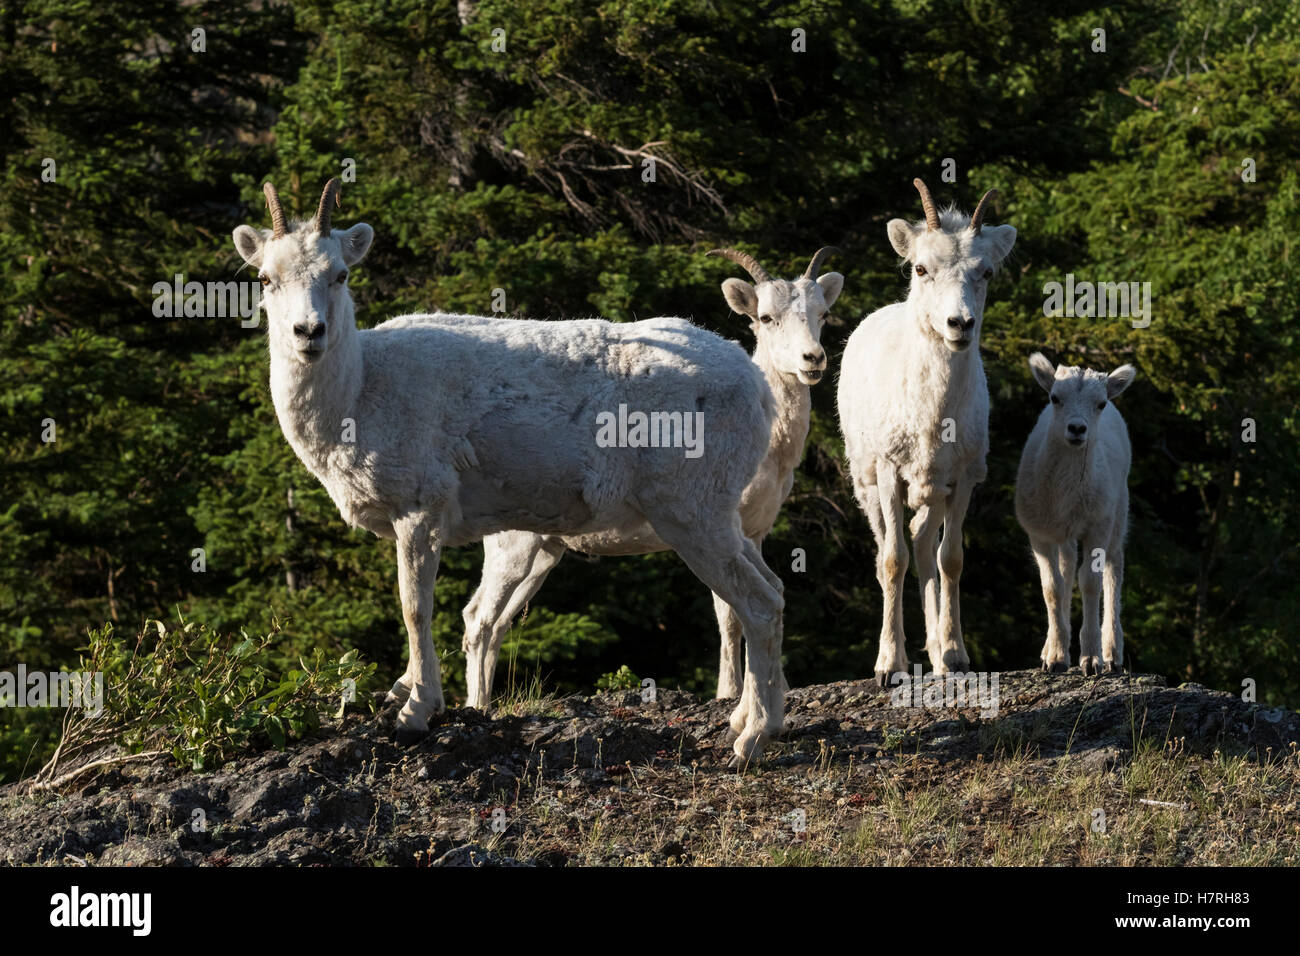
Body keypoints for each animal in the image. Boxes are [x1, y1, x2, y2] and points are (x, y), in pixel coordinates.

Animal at [231, 179, 787, 763]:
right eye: (265, 278)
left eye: (339, 274)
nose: (308, 333)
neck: (362, 389)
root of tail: (757, 388)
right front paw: (400, 695)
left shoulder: (420, 510)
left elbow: (414, 607)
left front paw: (416, 712)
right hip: (723, 518)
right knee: (770, 592)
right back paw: (748, 722)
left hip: (691, 514)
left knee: (759, 604)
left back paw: (750, 741)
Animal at [460, 247, 844, 706]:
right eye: (766, 317)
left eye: (822, 314)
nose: (812, 360)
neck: (773, 450)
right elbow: (727, 612)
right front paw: (728, 691)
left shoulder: (754, 532)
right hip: (513, 546)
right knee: (479, 618)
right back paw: (475, 706)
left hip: (545, 553)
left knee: (497, 621)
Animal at [837, 179, 1017, 686]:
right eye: (921, 267)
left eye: (986, 272)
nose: (959, 324)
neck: (934, 418)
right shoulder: (888, 473)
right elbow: (892, 559)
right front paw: (889, 666)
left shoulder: (963, 480)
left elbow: (950, 560)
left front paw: (955, 657)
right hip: (868, 486)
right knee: (890, 550)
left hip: (932, 490)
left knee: (922, 543)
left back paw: (936, 654)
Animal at [1014, 353, 1136, 675]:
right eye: (1055, 398)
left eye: (1100, 404)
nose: (1077, 429)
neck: (1065, 496)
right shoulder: (1040, 533)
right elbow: (1053, 588)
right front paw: (1056, 658)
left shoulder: (1096, 526)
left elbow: (1091, 583)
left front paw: (1091, 660)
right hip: (1064, 533)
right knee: (1067, 569)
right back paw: (1051, 648)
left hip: (1117, 512)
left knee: (1114, 571)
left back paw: (1112, 654)